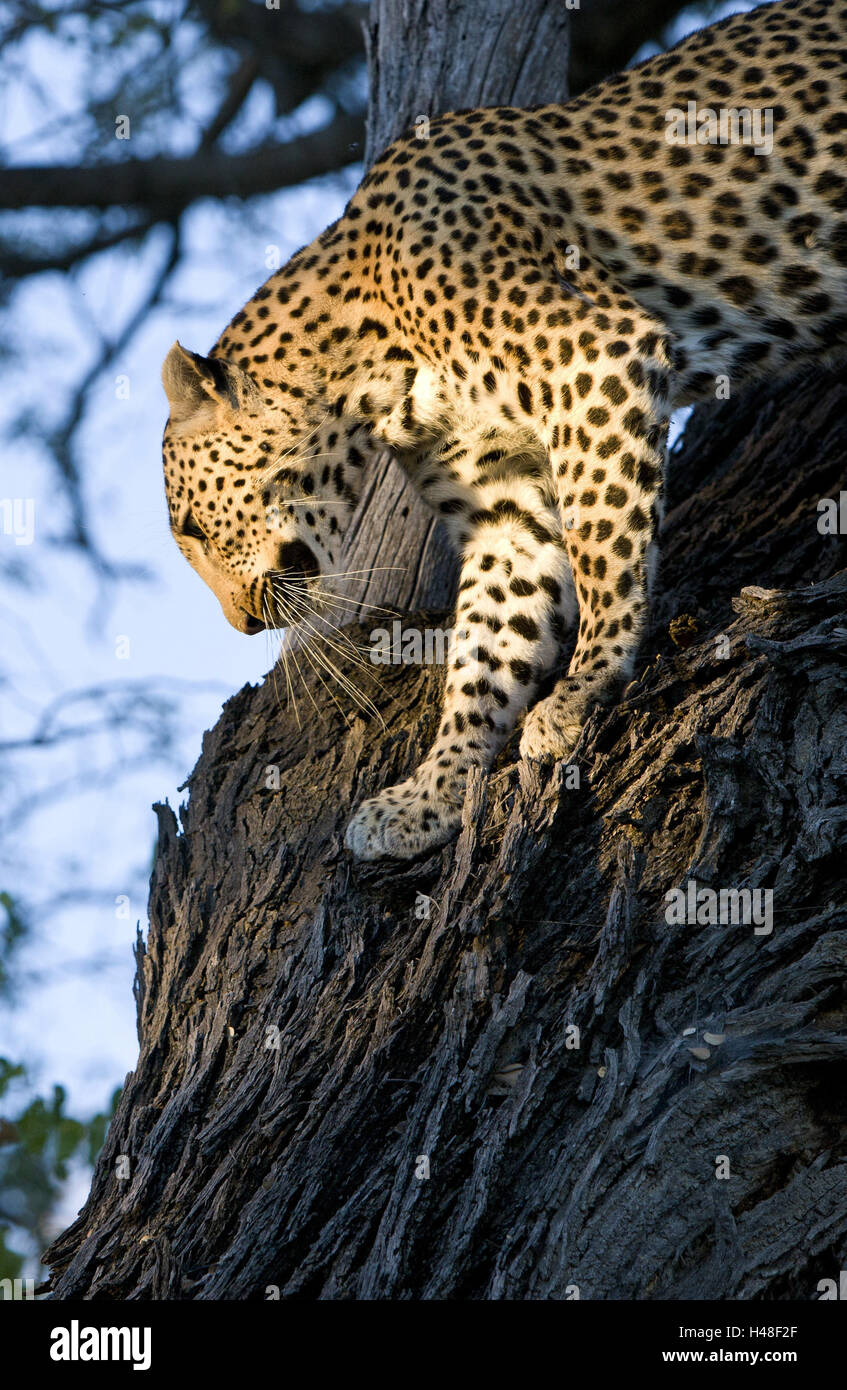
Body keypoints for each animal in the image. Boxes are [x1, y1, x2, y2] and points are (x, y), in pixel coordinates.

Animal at [161, 0, 847, 862]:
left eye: (192, 526)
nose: (243, 623)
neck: (366, 360)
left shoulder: (593, 355)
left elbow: (603, 549)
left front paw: (583, 686)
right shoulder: (504, 502)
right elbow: (489, 645)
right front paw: (431, 791)